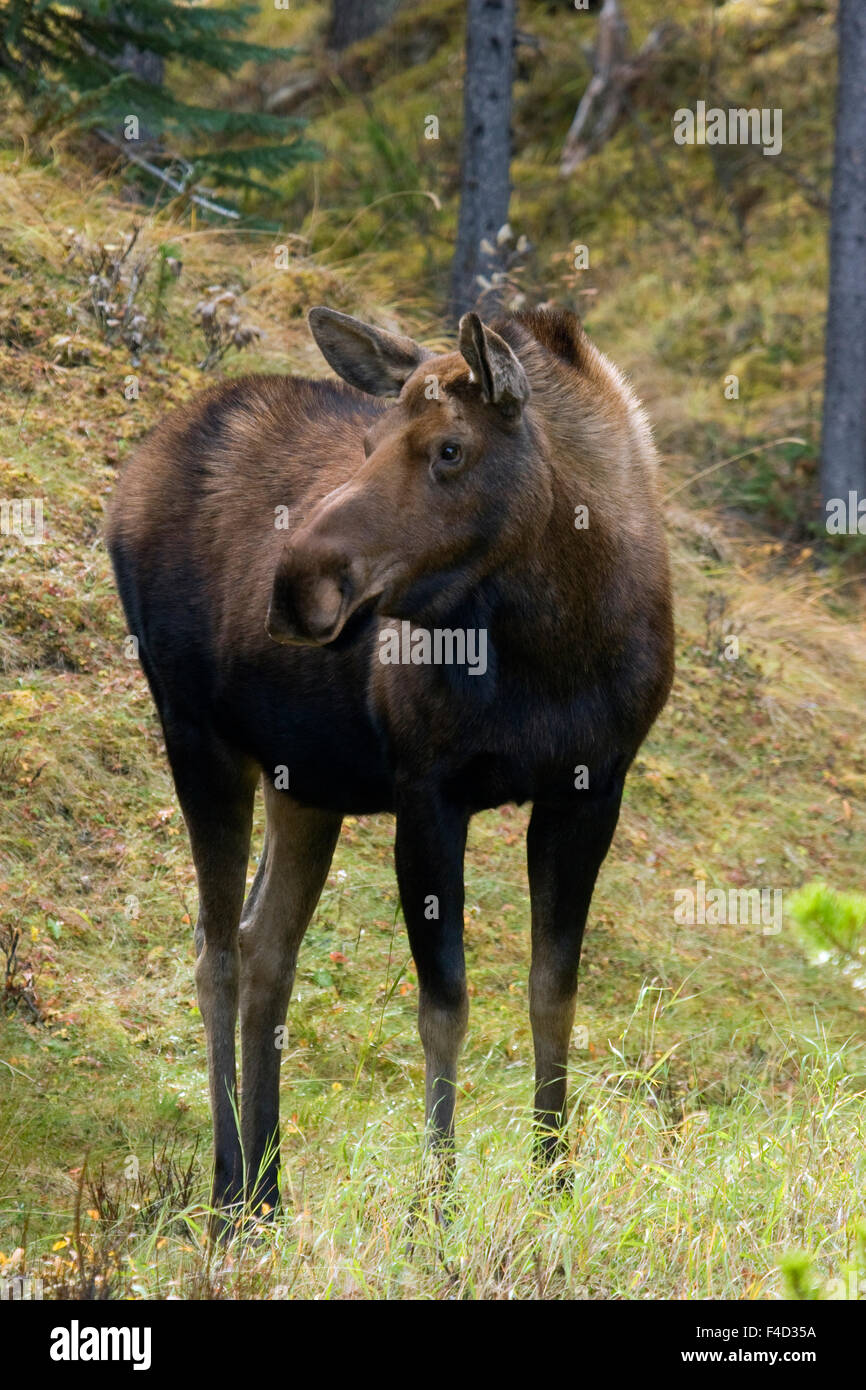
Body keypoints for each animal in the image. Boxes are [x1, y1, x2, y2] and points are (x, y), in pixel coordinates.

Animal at [106, 304, 674, 1218]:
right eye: (369, 441)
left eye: (450, 448)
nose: (295, 587)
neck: (557, 644)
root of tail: (136, 470)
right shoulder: (427, 788)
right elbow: (445, 1005)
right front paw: (436, 1208)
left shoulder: (592, 789)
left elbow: (553, 994)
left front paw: (554, 1187)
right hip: (194, 731)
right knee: (215, 950)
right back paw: (228, 1186)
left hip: (304, 774)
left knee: (267, 943)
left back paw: (267, 1189)